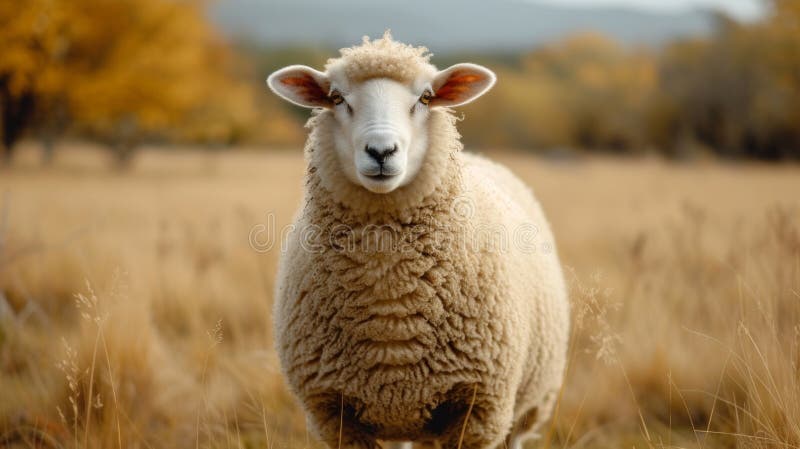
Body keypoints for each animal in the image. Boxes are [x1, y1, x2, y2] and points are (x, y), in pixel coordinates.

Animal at [267, 32, 570, 449]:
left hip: (523, 408)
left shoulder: (479, 410)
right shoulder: (333, 412)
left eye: (426, 98)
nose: (381, 151)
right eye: (337, 98)